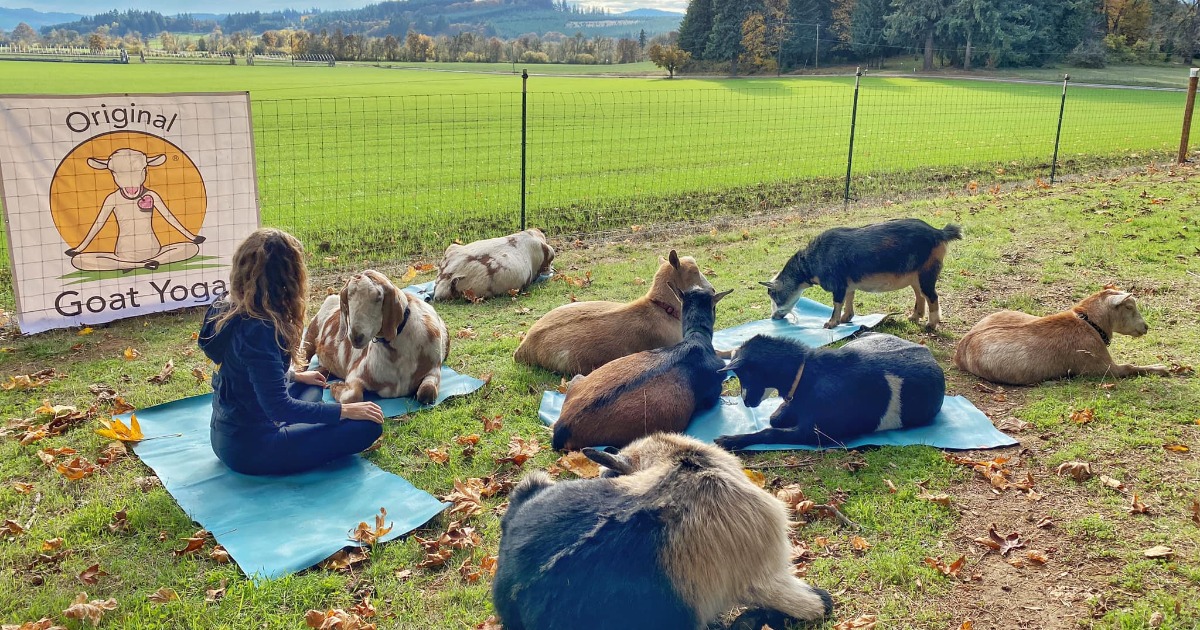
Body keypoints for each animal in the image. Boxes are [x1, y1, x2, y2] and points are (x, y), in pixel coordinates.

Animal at [303, 270, 449, 404]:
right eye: (347, 299)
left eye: (378, 297)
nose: (356, 337)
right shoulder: (356, 374)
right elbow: (353, 396)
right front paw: (335, 385)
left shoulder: (434, 370)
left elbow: (427, 393)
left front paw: (333, 384)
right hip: (310, 336)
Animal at [715, 333, 945, 450]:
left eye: (744, 375)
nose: (746, 402)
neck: (807, 373)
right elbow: (775, 419)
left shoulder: (813, 433)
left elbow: (770, 431)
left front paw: (729, 440)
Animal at [762, 218, 962, 330]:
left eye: (774, 294)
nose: (773, 317)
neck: (811, 262)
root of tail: (939, 232)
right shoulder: (848, 284)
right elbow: (849, 299)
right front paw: (846, 319)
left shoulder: (838, 283)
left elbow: (837, 302)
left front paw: (831, 323)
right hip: (914, 275)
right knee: (920, 295)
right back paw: (914, 317)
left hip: (927, 272)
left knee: (932, 296)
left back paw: (931, 325)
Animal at [953, 289, 1170, 385]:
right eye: (1129, 307)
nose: (1145, 327)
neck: (1089, 323)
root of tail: (960, 351)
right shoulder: (1101, 367)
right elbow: (1129, 368)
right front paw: (1161, 368)